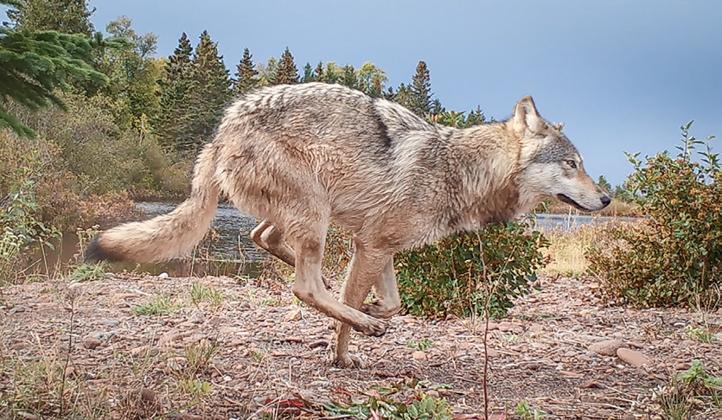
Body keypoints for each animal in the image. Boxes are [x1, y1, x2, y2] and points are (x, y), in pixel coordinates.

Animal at [86, 82, 610, 367]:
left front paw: (370, 313)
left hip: (307, 217)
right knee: (303, 285)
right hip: (314, 212)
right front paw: (344, 351)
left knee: (267, 242)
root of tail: (223, 130)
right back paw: (357, 317)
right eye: (572, 164)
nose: (606, 198)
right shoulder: (372, 245)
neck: (458, 170)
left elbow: (394, 303)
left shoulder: (378, 246)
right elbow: (355, 310)